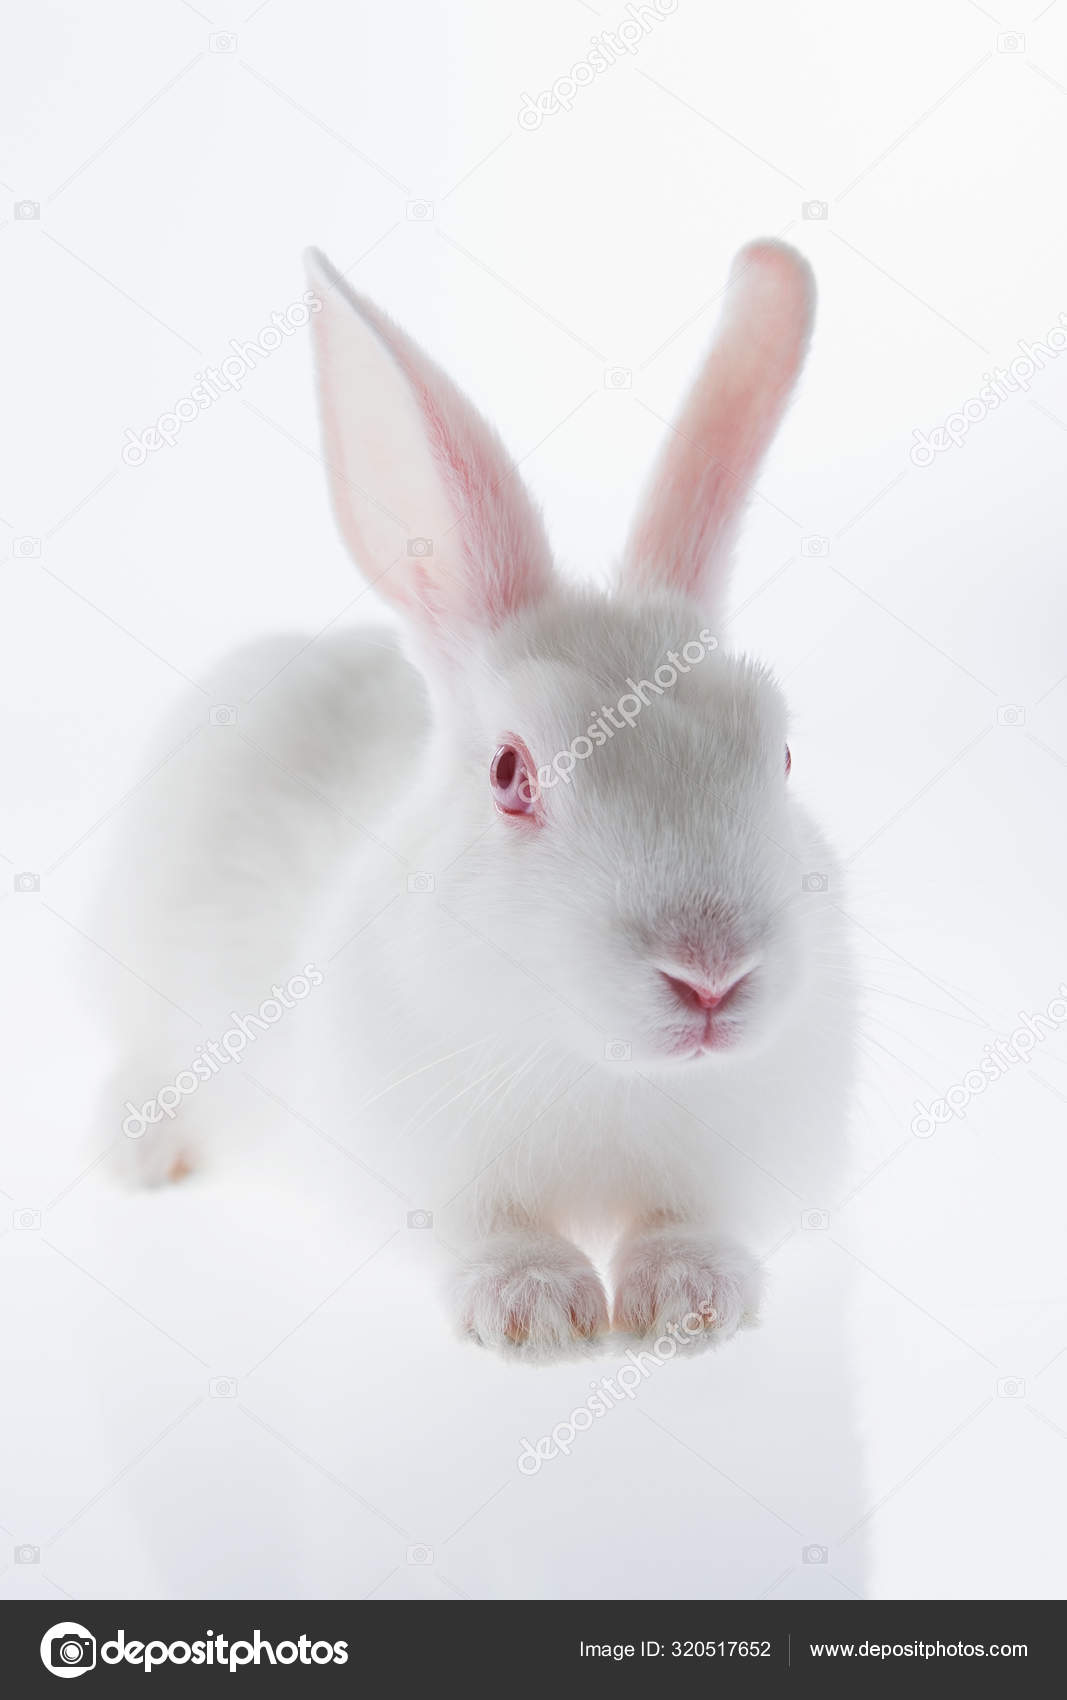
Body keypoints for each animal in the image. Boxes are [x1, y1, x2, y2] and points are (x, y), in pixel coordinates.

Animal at [101, 237, 853, 1365]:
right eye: (509, 774)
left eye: (782, 752)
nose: (711, 977)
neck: (597, 1063)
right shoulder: (436, 1173)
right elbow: (491, 1232)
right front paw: (535, 1315)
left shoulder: (723, 1164)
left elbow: (686, 1222)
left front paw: (687, 1304)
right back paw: (139, 1155)